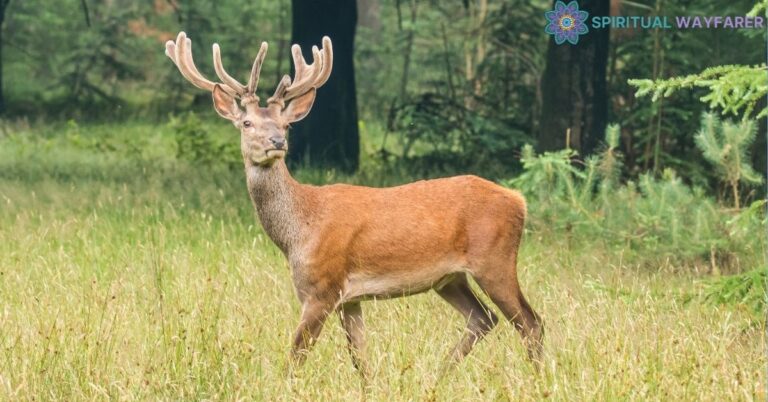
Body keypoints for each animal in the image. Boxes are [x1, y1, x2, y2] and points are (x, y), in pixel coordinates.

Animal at [164, 32, 543, 376]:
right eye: (246, 122)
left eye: (286, 125)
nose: (276, 142)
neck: (299, 230)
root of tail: (519, 201)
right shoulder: (351, 298)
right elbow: (360, 359)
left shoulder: (322, 286)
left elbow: (296, 357)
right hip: (449, 278)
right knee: (484, 318)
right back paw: (439, 374)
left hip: (494, 259)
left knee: (530, 321)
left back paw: (535, 375)